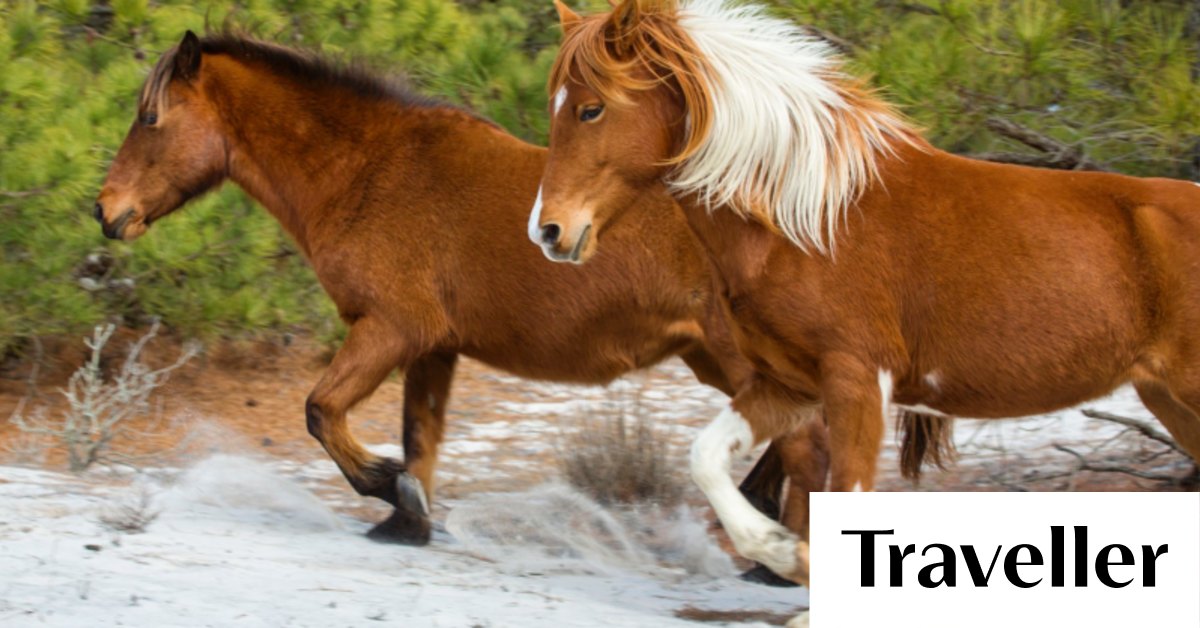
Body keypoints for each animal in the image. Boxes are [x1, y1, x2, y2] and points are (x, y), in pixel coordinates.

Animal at [91, 30, 860, 557]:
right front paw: (406, 520)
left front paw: (385, 485)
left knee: (809, 446)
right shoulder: (434, 349)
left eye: (150, 118)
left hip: (734, 357)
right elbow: (420, 436)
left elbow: (322, 413)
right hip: (716, 358)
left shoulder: (389, 330)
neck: (367, 170)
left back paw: (771, 560)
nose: (106, 211)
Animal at [532, 0, 1200, 600]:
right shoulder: (788, 384)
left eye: (591, 108)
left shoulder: (857, 379)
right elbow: (708, 458)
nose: (548, 231)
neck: (811, 219)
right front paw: (783, 553)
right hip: (1168, 400)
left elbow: (846, 492)